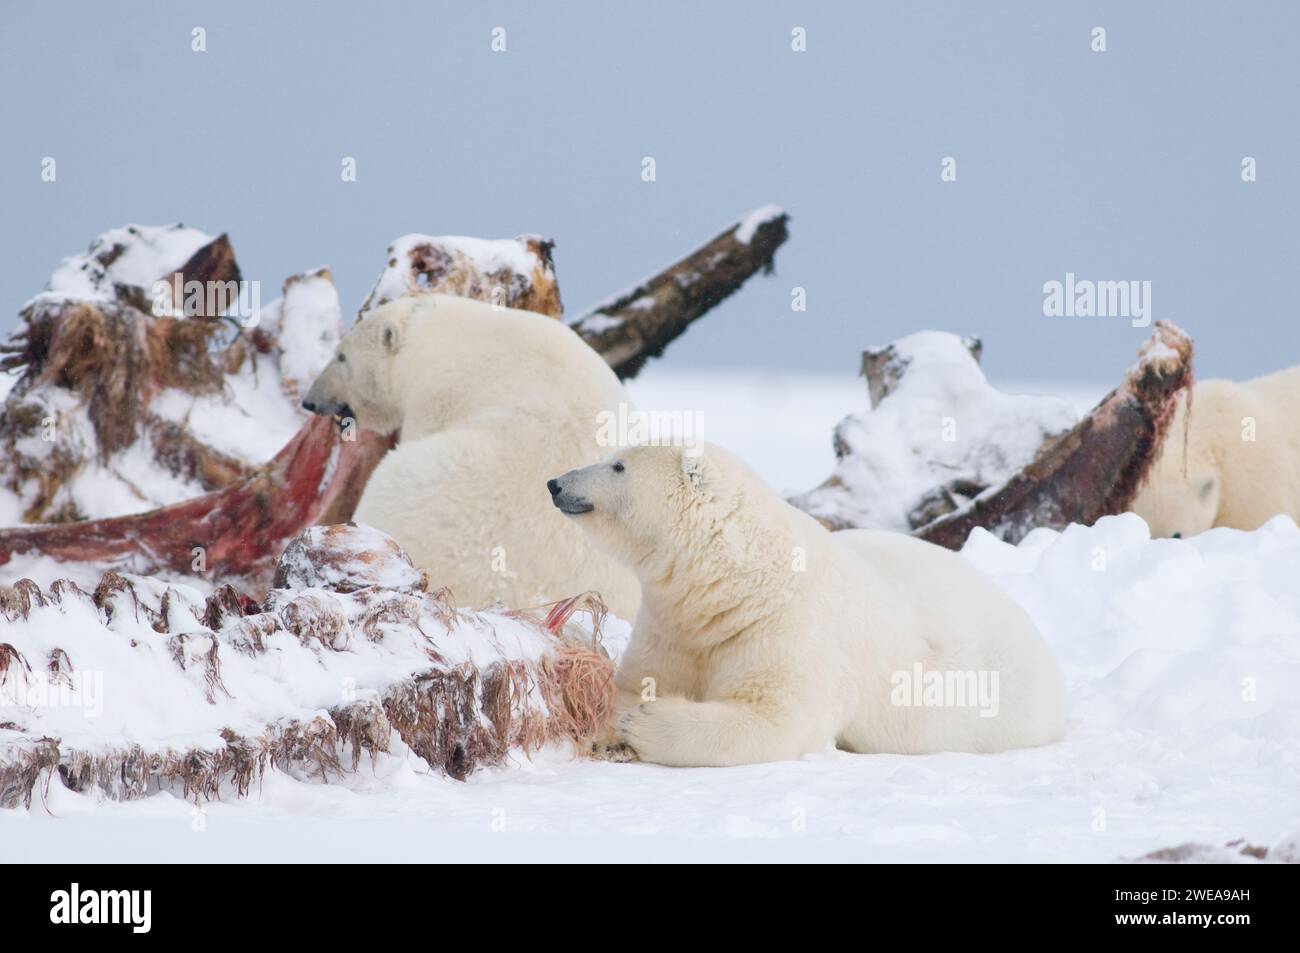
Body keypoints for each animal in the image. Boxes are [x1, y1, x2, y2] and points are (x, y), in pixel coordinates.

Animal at [546, 442, 1066, 767]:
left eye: (618, 465)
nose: (555, 483)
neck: (733, 580)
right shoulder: (672, 624)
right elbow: (636, 679)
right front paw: (606, 731)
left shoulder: (786, 626)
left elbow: (776, 716)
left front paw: (643, 723)